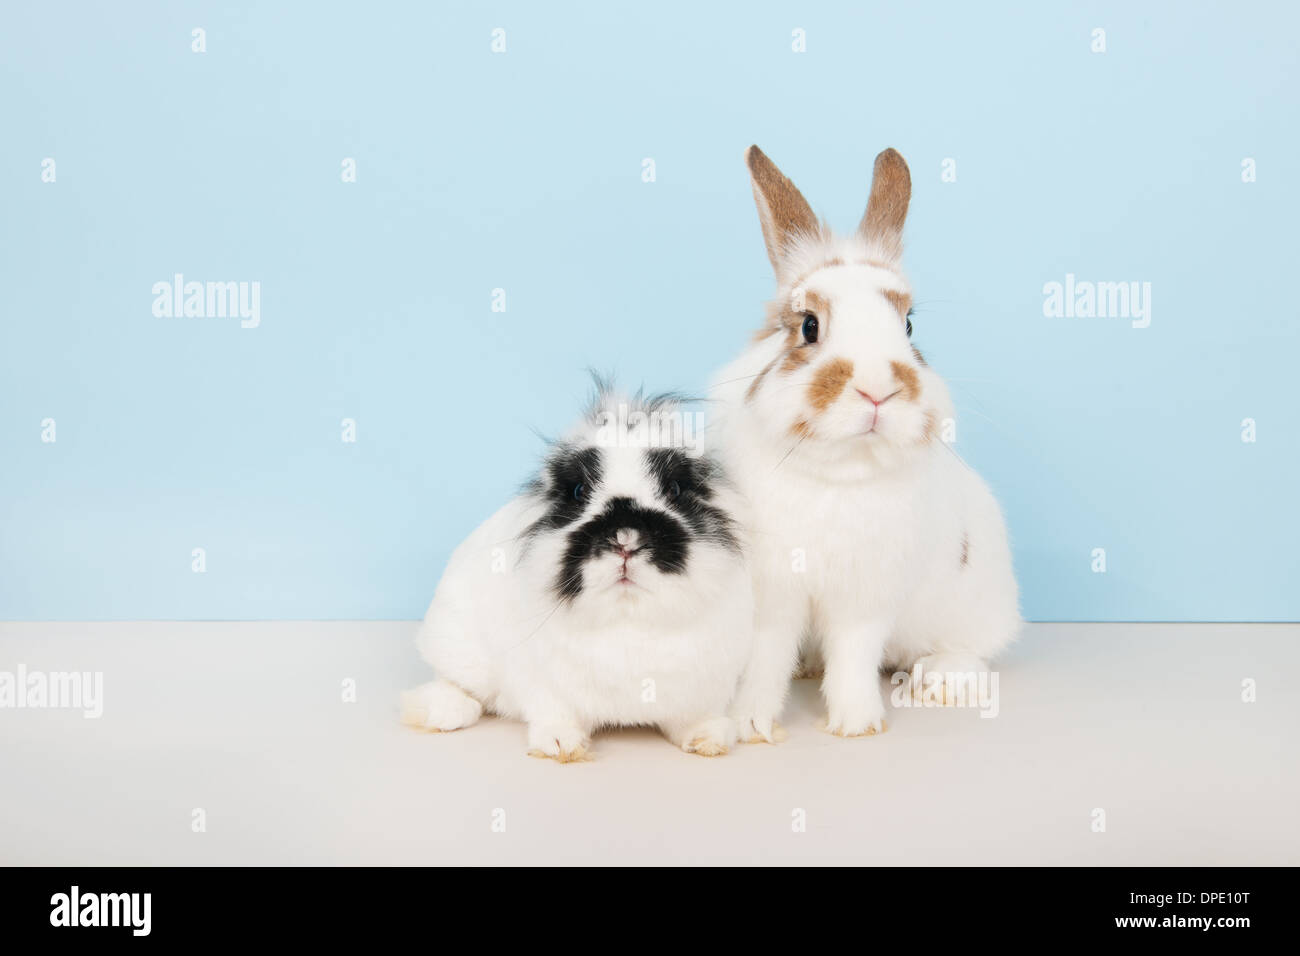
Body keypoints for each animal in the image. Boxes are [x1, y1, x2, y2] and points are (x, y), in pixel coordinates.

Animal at [401, 380, 753, 761]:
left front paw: (709, 739)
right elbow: (555, 714)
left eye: (674, 489)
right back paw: (438, 712)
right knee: (457, 684)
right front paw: (561, 746)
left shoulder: (702, 688)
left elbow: (692, 718)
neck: (627, 617)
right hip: (458, 643)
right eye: (578, 491)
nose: (625, 539)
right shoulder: (544, 685)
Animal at [711, 146, 1020, 743]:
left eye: (909, 326)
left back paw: (943, 678)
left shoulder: (866, 596)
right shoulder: (771, 594)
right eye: (809, 326)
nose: (879, 388)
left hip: (974, 595)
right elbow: (765, 658)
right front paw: (751, 724)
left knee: (977, 646)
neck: (838, 474)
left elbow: (854, 655)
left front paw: (856, 724)